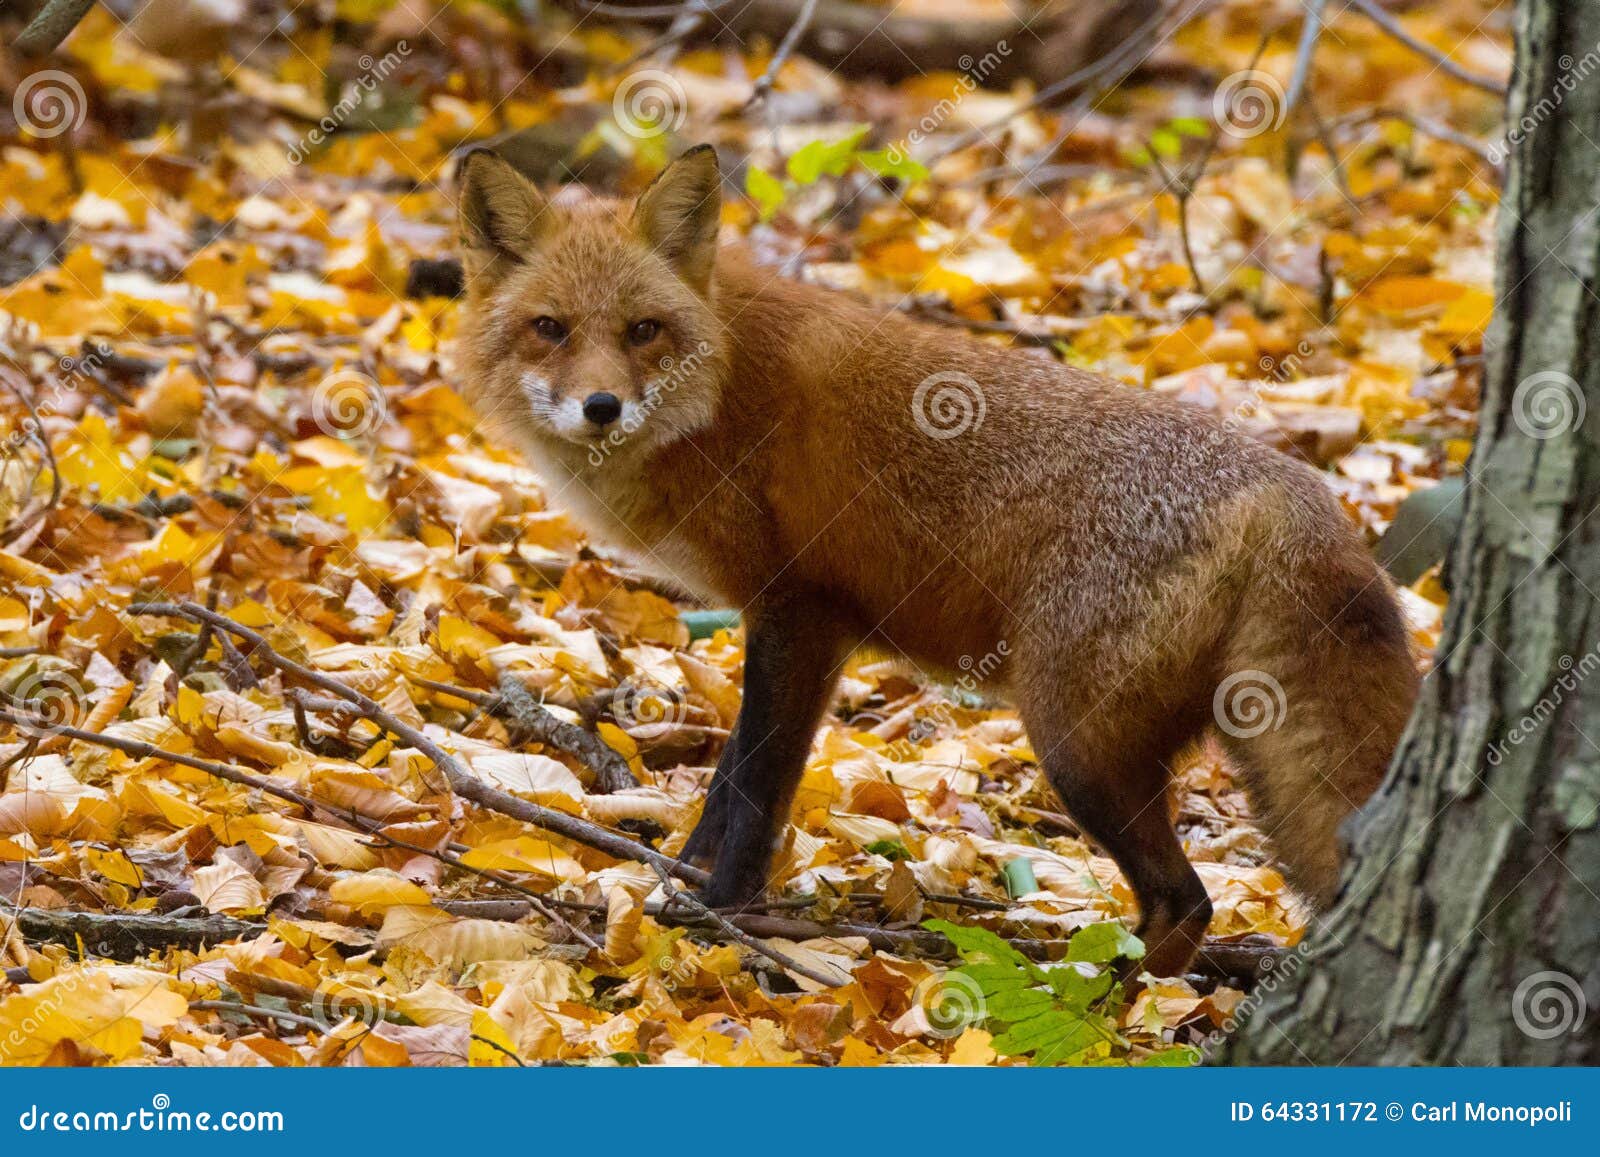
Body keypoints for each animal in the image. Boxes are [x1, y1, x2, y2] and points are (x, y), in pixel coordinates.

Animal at [453, 144, 1421, 977]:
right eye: (550, 329)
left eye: (643, 329)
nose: (601, 406)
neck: (722, 391)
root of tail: (1293, 490)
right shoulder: (797, 623)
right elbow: (726, 782)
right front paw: (681, 883)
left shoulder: (802, 610)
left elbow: (755, 786)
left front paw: (721, 913)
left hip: (1075, 743)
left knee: (1186, 903)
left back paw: (1097, 1005)